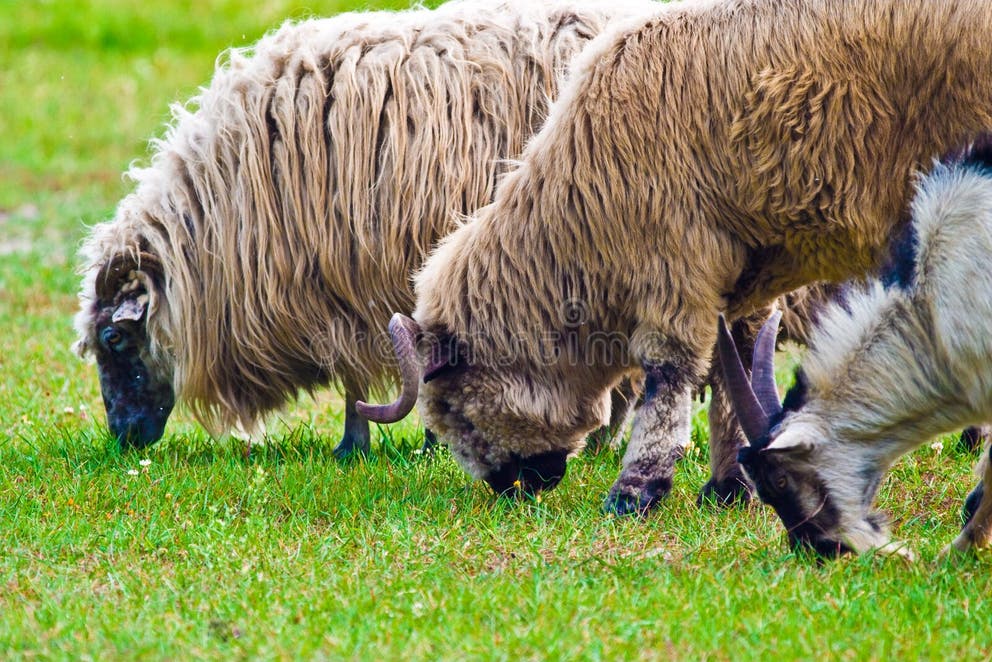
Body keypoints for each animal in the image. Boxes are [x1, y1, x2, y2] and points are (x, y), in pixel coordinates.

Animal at [359, 0, 992, 514]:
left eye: (458, 411)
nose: (510, 489)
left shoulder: (673, 263)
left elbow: (668, 376)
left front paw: (636, 490)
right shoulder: (741, 273)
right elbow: (737, 365)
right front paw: (729, 484)